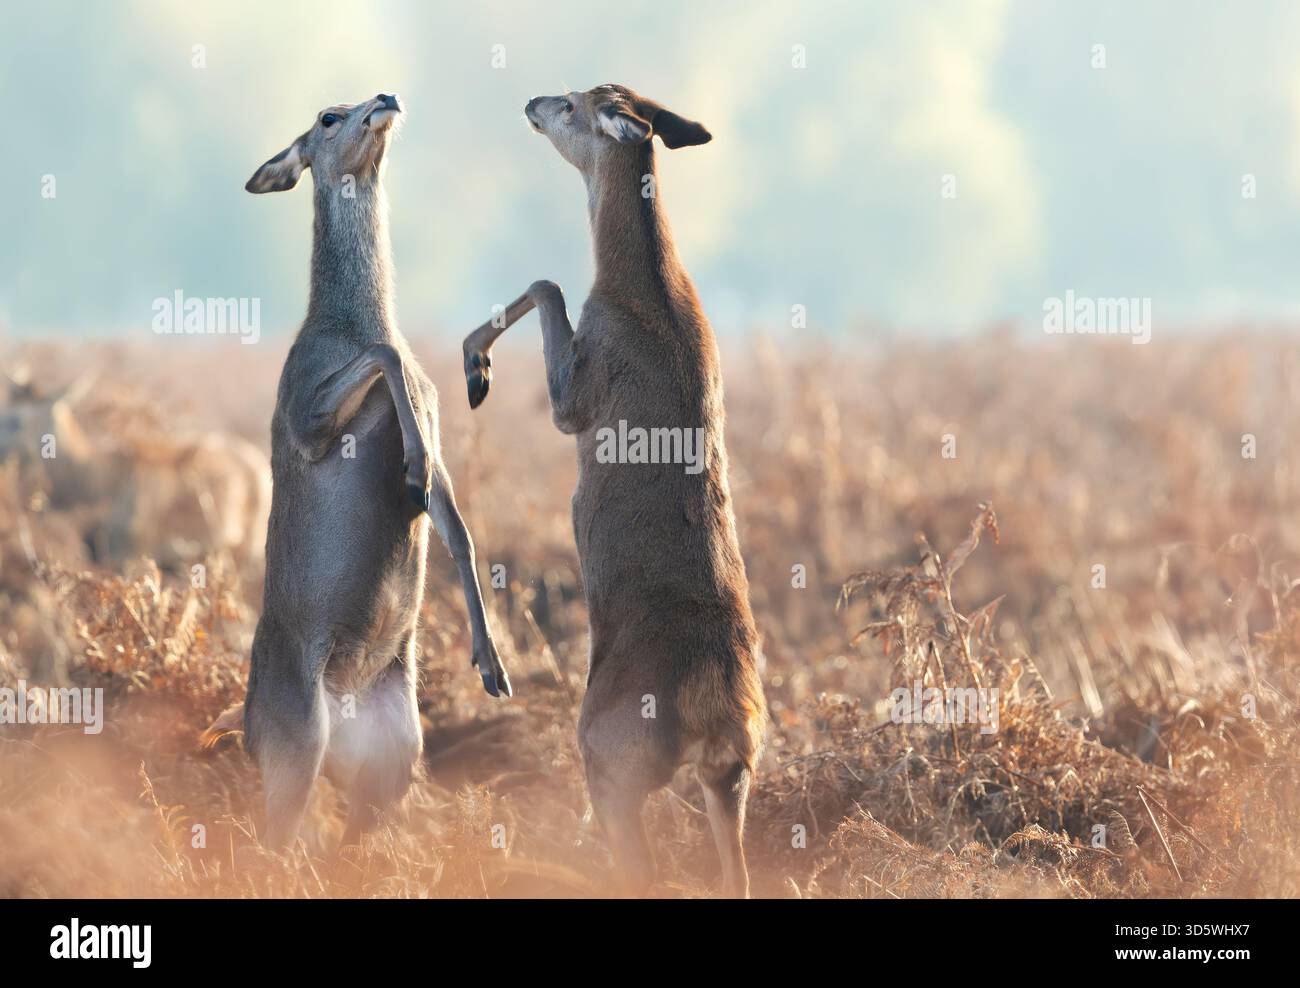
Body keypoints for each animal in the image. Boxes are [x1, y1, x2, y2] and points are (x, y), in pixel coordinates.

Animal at [201, 93, 511, 849]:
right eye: (326, 116)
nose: (387, 100)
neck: (352, 321)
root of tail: (242, 728)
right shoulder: (303, 415)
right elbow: (384, 359)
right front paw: (412, 465)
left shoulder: (434, 415)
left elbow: (460, 529)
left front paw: (493, 666)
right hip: (293, 738)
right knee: (271, 841)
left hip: (396, 750)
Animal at [461, 84, 767, 897]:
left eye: (573, 104)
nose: (534, 100)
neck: (645, 291)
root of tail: (712, 705)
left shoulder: (580, 392)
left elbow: (549, 284)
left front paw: (476, 364)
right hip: (732, 773)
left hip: (610, 753)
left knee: (639, 863)